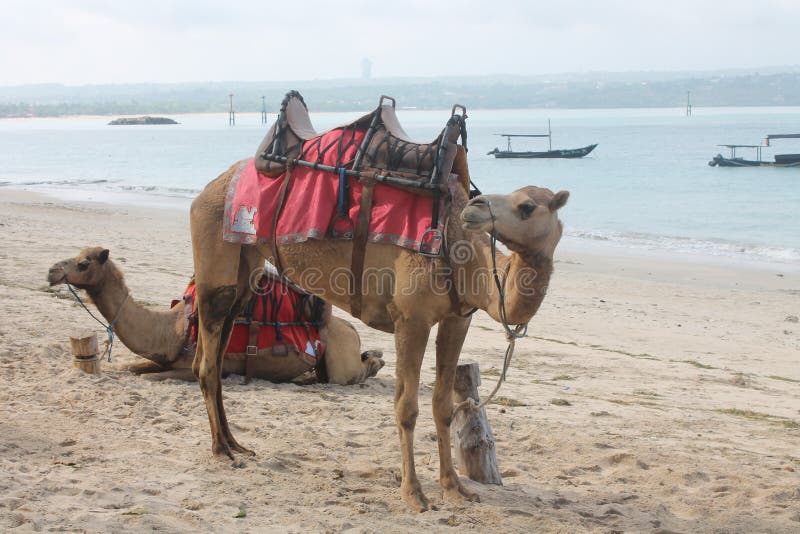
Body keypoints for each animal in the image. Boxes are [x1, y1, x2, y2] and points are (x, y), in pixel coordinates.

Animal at [47, 247, 385, 385]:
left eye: (83, 263)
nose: (52, 271)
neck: (173, 328)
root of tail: (350, 329)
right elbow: (131, 368)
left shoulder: (189, 366)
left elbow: (153, 376)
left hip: (340, 362)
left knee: (357, 372)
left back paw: (376, 359)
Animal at [189, 156, 568, 510]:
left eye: (526, 206)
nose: (474, 208)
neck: (462, 255)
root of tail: (208, 189)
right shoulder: (411, 319)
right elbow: (406, 407)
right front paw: (414, 494)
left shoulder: (457, 319)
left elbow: (443, 406)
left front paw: (454, 488)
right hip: (214, 263)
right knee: (206, 362)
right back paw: (221, 450)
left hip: (247, 267)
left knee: (218, 355)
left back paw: (235, 444)